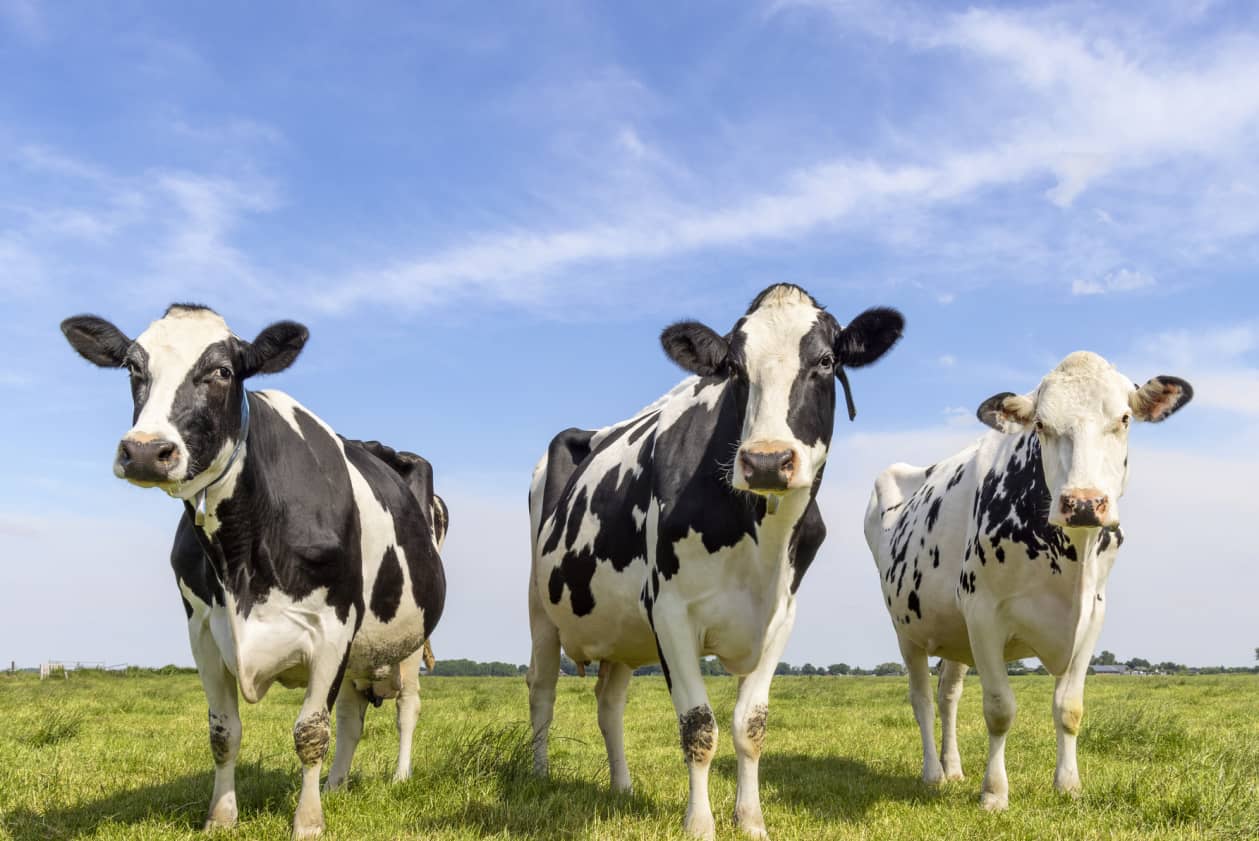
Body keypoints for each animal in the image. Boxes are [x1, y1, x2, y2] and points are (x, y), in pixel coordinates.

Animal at [60, 304, 447, 838]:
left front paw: (307, 823)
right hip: (359, 652)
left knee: (406, 708)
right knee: (351, 717)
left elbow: (310, 732)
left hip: (407, 641)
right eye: (133, 368)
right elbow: (224, 732)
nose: (145, 451)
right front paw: (222, 817)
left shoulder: (333, 626)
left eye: (223, 371)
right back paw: (336, 786)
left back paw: (399, 778)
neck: (240, 557)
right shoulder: (203, 630)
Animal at [528, 284, 904, 839]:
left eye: (826, 360)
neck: (758, 540)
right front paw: (701, 825)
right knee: (542, 690)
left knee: (609, 703)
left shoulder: (780, 615)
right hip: (540, 608)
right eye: (735, 369)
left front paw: (750, 820)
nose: (767, 461)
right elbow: (698, 725)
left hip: (620, 631)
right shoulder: (669, 611)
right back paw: (538, 776)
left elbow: (751, 725)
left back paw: (622, 787)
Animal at [864, 351, 1192, 810]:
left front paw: (1068, 785)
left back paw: (953, 769)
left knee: (948, 696)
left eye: (1125, 418)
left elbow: (1069, 708)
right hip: (907, 629)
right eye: (1040, 424)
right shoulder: (983, 612)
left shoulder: (1093, 615)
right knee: (922, 700)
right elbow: (1000, 709)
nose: (1084, 503)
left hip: (954, 632)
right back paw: (933, 774)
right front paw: (994, 793)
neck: (1071, 562)